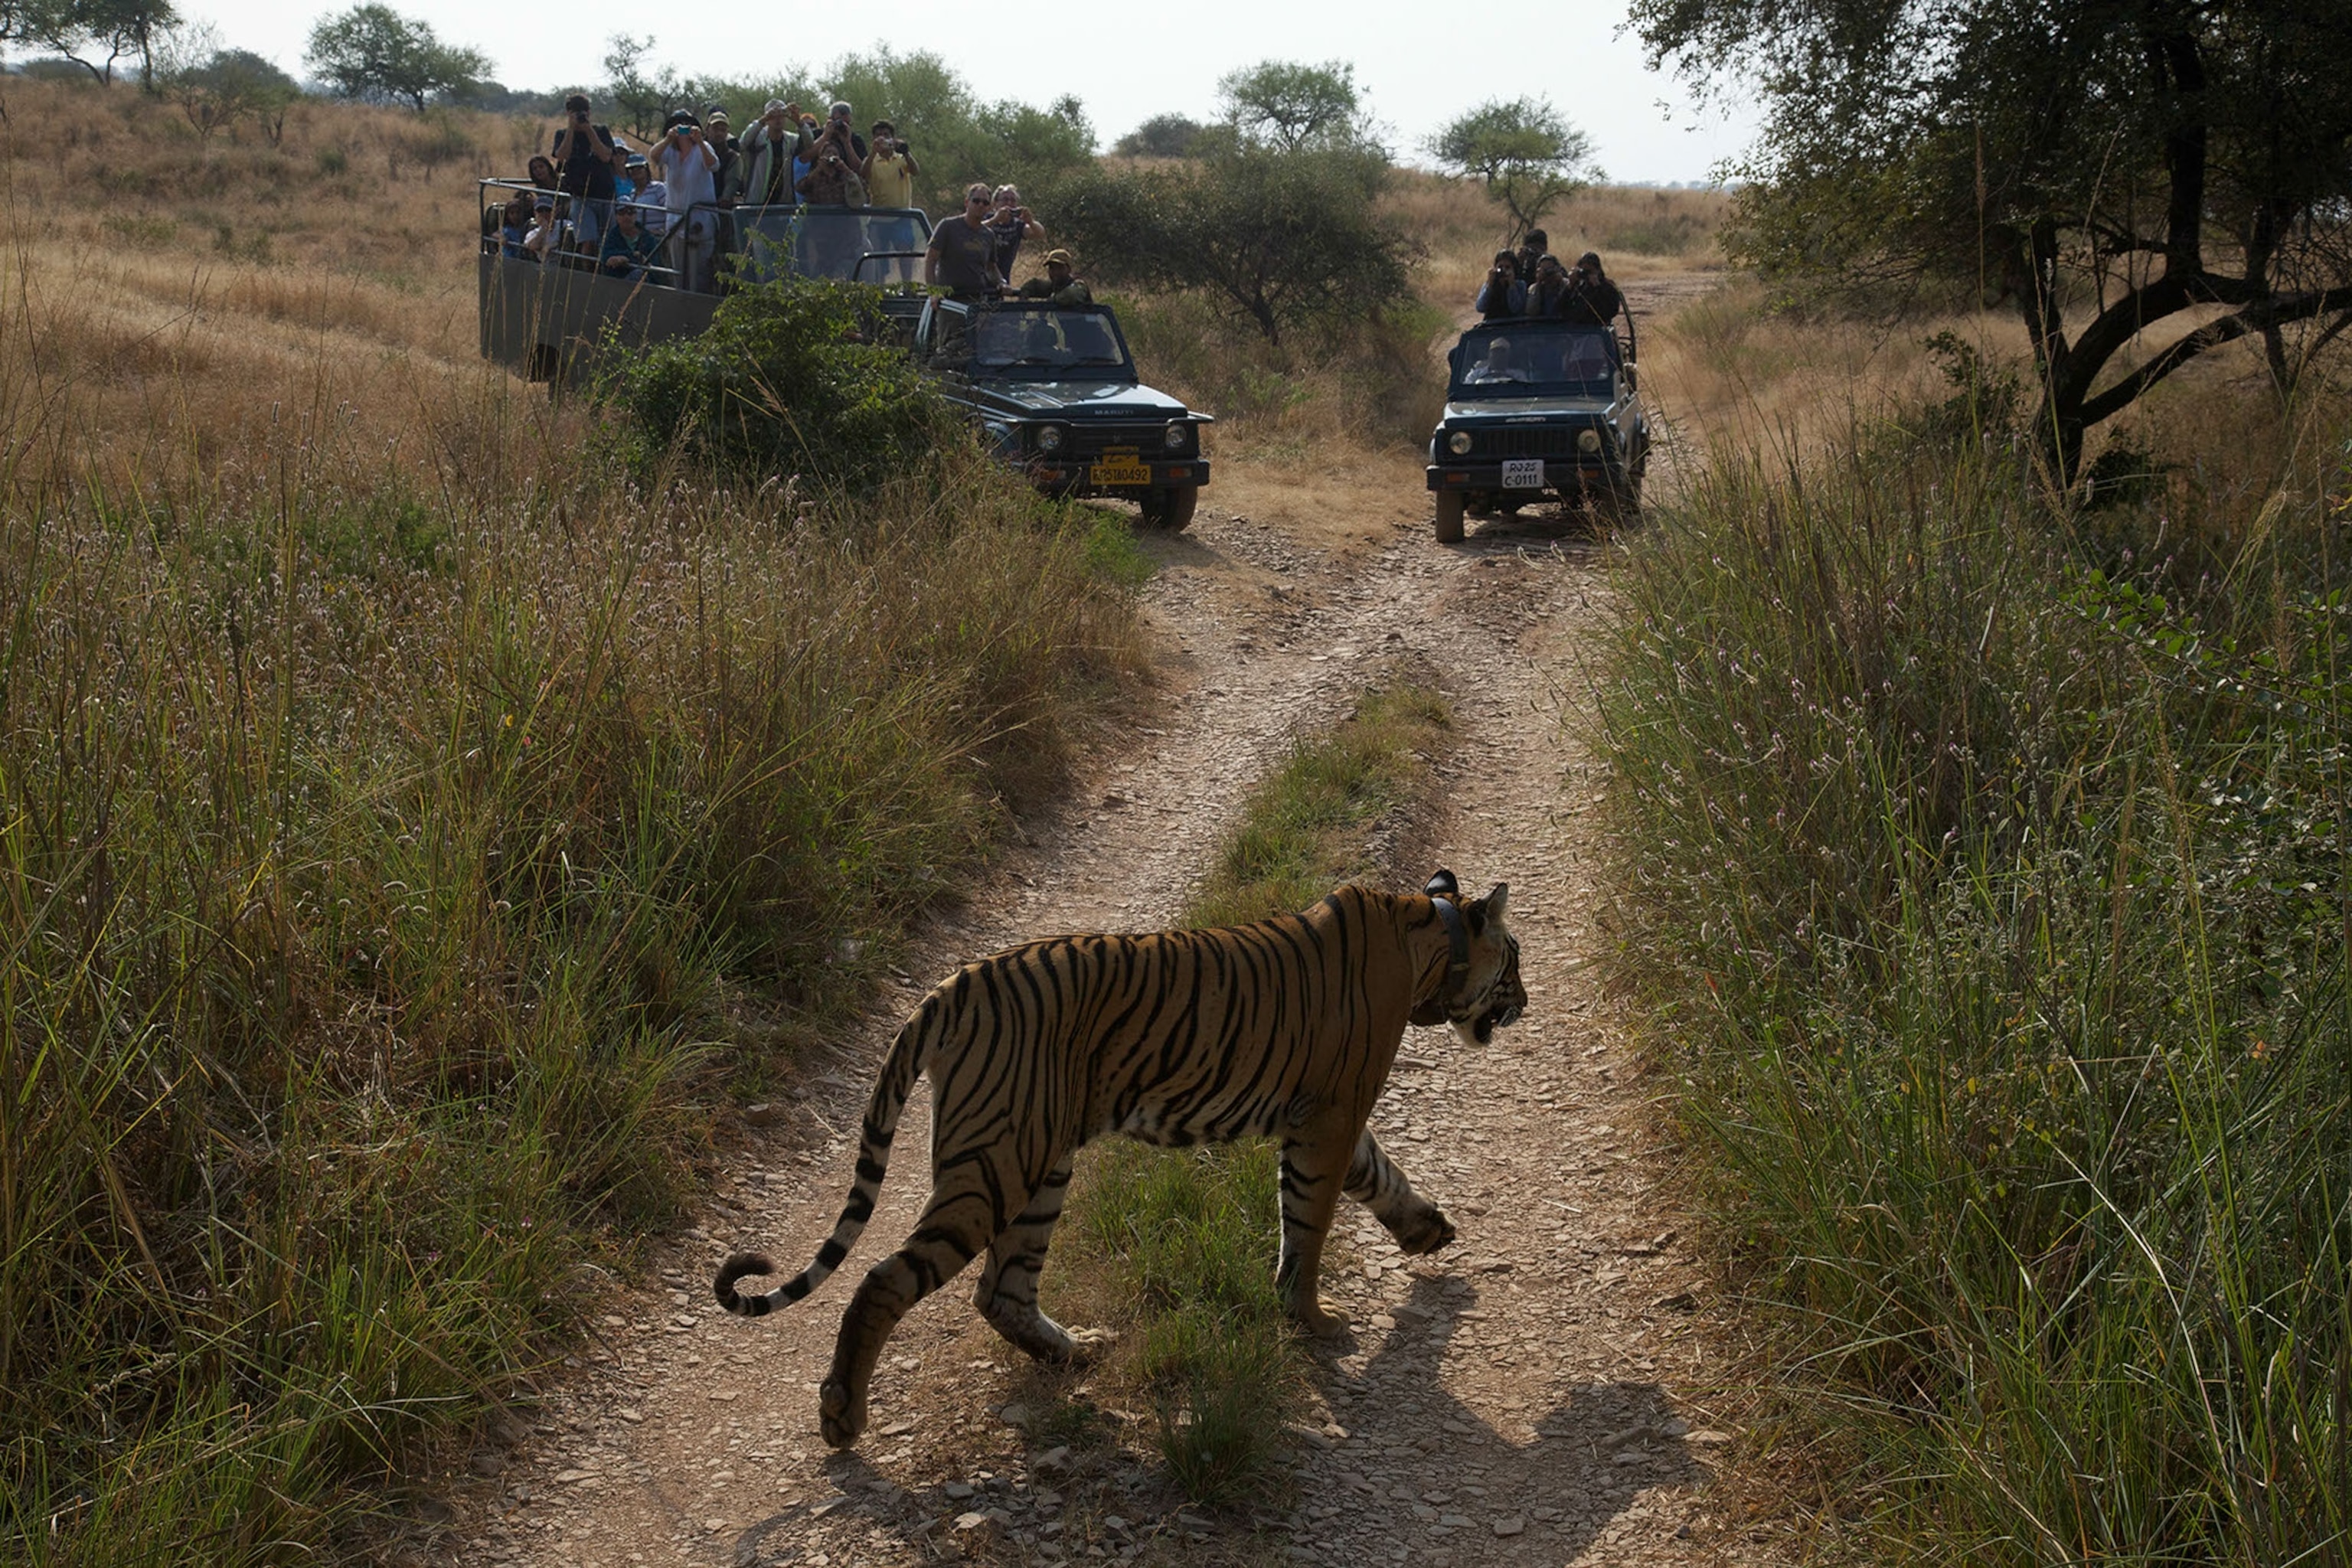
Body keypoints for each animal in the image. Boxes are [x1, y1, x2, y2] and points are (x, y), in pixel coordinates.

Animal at [713, 869, 1526, 1449]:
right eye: (1514, 961)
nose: (1524, 1003)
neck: (1430, 937)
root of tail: (952, 985)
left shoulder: (1327, 1117)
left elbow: (1375, 1173)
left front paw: (1427, 1230)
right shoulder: (1330, 1112)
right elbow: (1312, 1220)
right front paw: (1312, 1321)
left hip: (1040, 1163)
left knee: (1002, 1290)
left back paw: (1077, 1355)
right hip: (997, 1164)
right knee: (887, 1279)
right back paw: (842, 1417)